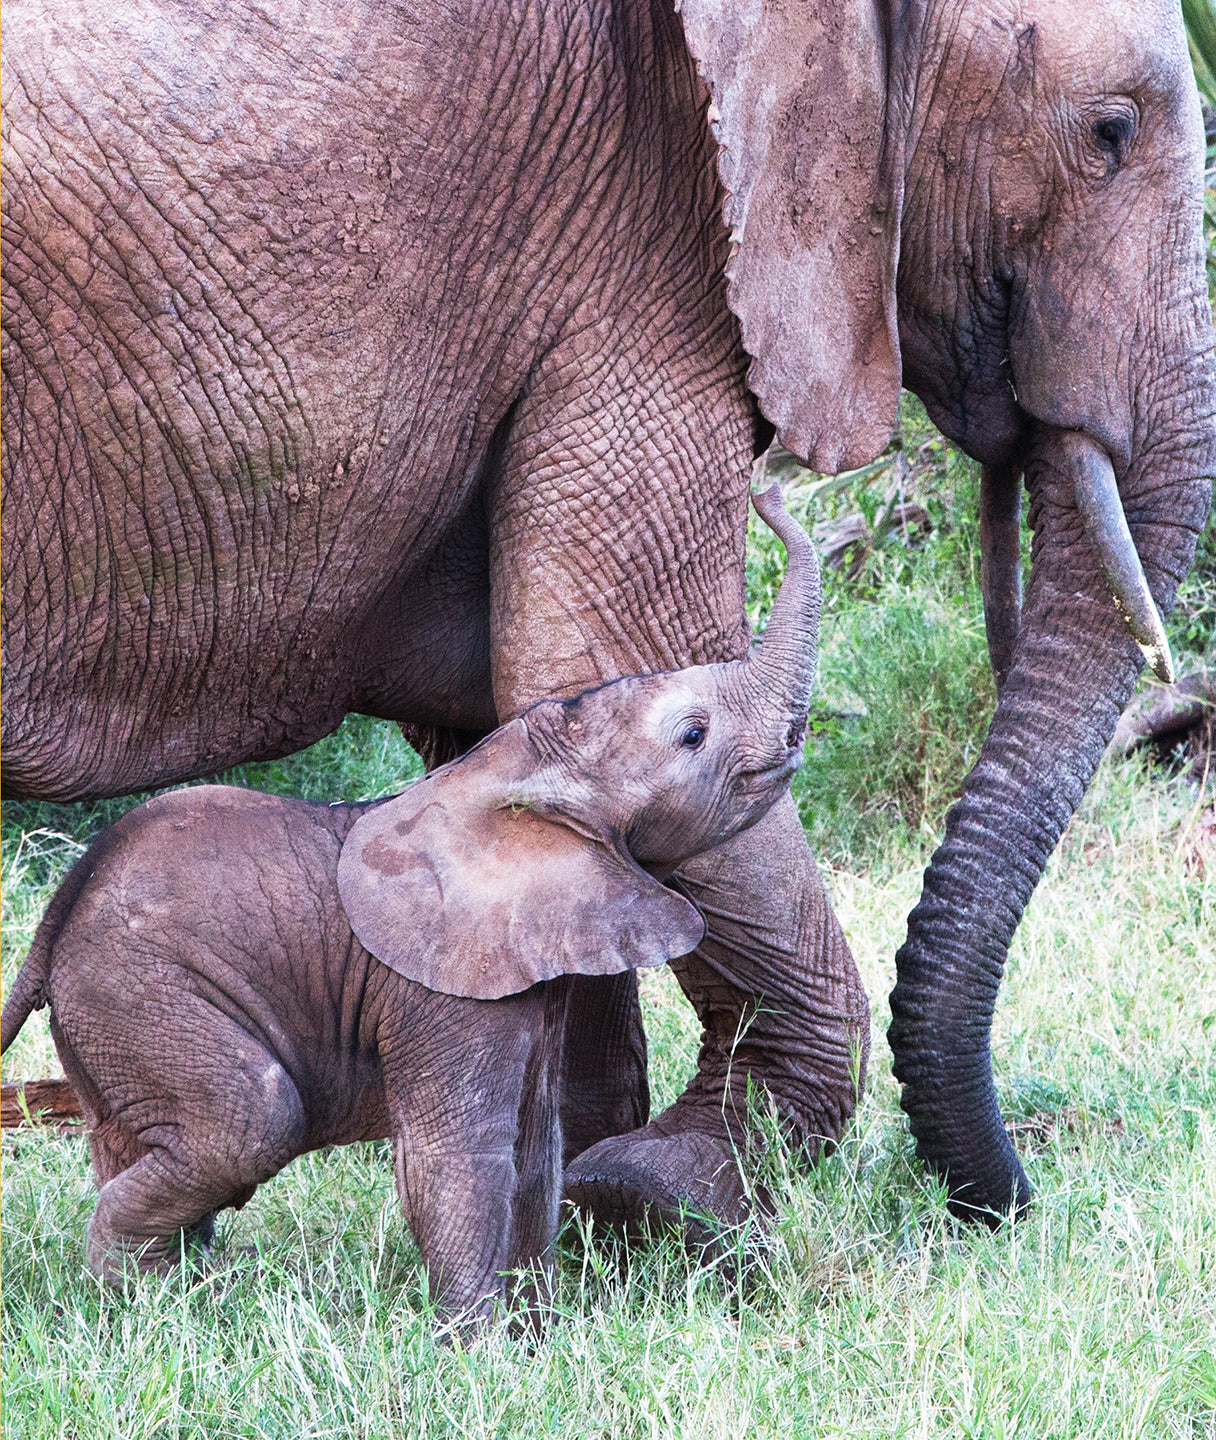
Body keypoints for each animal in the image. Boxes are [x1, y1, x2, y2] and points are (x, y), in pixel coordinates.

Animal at [0, 487, 820, 1315]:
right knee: (251, 1121)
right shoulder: (439, 998)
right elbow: (462, 1157)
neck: (509, 767)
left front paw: (541, 1326)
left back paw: (178, 1294)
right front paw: (480, 1341)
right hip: (143, 993)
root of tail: (53, 925)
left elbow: (538, 1150)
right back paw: (144, 1298)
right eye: (693, 735)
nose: (769, 493)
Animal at [2, 0, 1212, 1227]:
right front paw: (662, 1198)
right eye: (1109, 133)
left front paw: (596, 1206)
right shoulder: (638, 235)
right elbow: (616, 661)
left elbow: (507, 726)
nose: (1006, 1203)